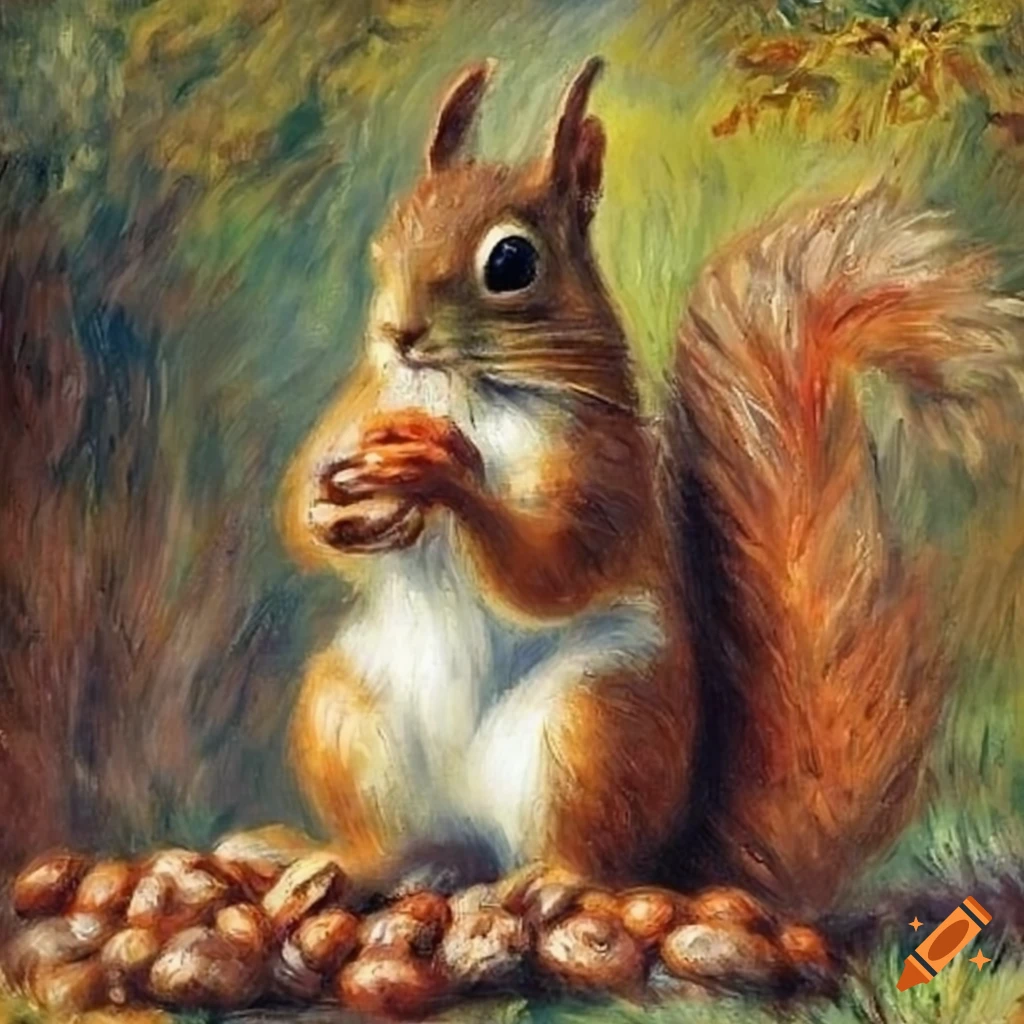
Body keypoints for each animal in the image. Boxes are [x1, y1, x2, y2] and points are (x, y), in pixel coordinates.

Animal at [278, 57, 1024, 918]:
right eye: (389, 236)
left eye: (510, 264)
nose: (398, 334)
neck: (463, 391)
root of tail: (680, 863)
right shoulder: (360, 409)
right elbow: (301, 511)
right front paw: (335, 509)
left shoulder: (605, 470)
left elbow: (556, 567)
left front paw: (445, 473)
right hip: (346, 713)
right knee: (412, 846)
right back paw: (348, 866)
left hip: (597, 727)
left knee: (597, 858)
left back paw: (553, 880)